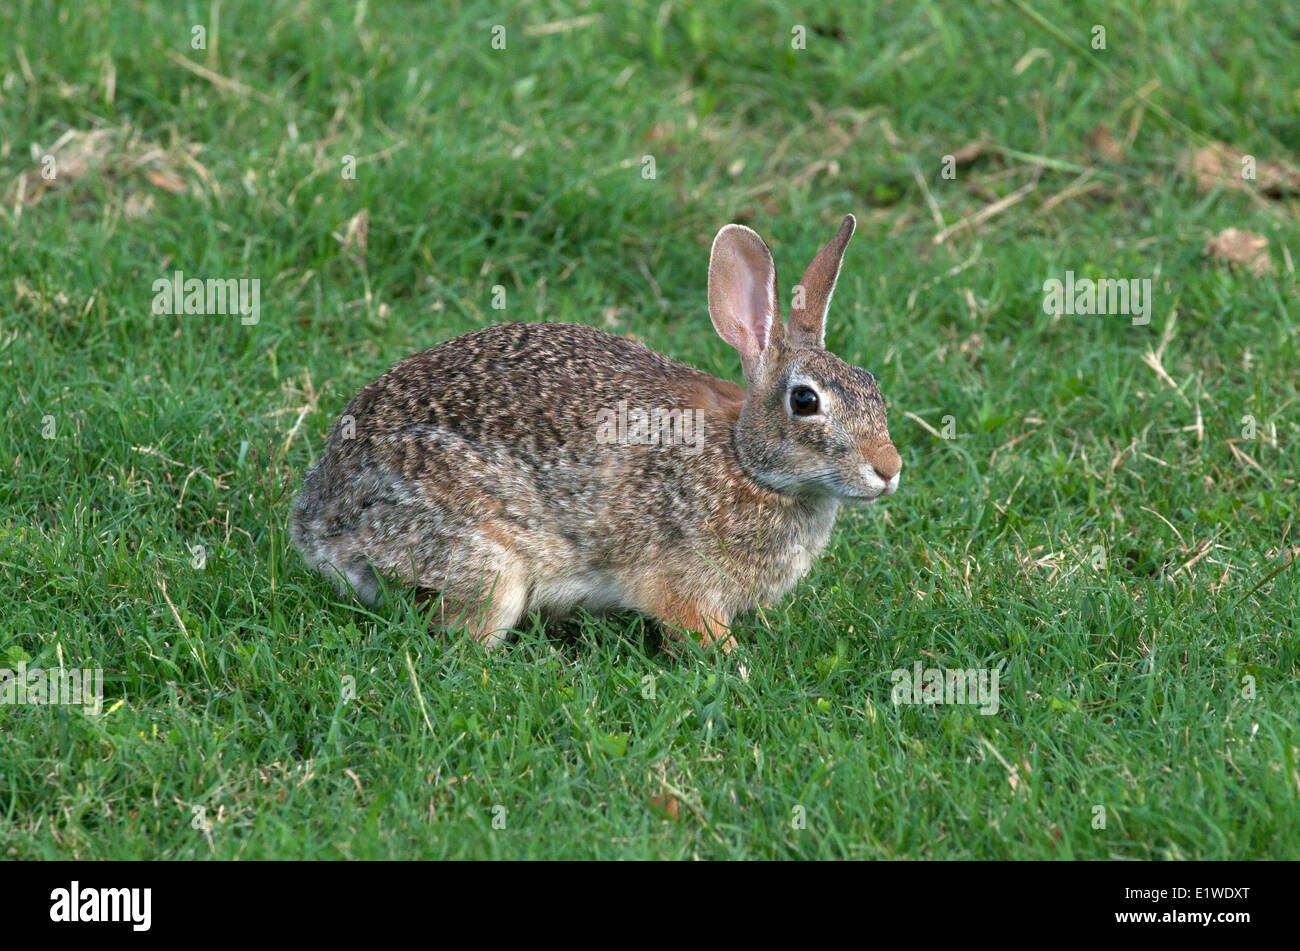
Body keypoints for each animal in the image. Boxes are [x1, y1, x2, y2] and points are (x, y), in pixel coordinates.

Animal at [290, 214, 901, 651]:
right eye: (805, 401)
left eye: (871, 384)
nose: (890, 469)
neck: (746, 461)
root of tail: (318, 524)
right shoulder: (681, 582)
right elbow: (696, 628)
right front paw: (738, 667)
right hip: (485, 558)